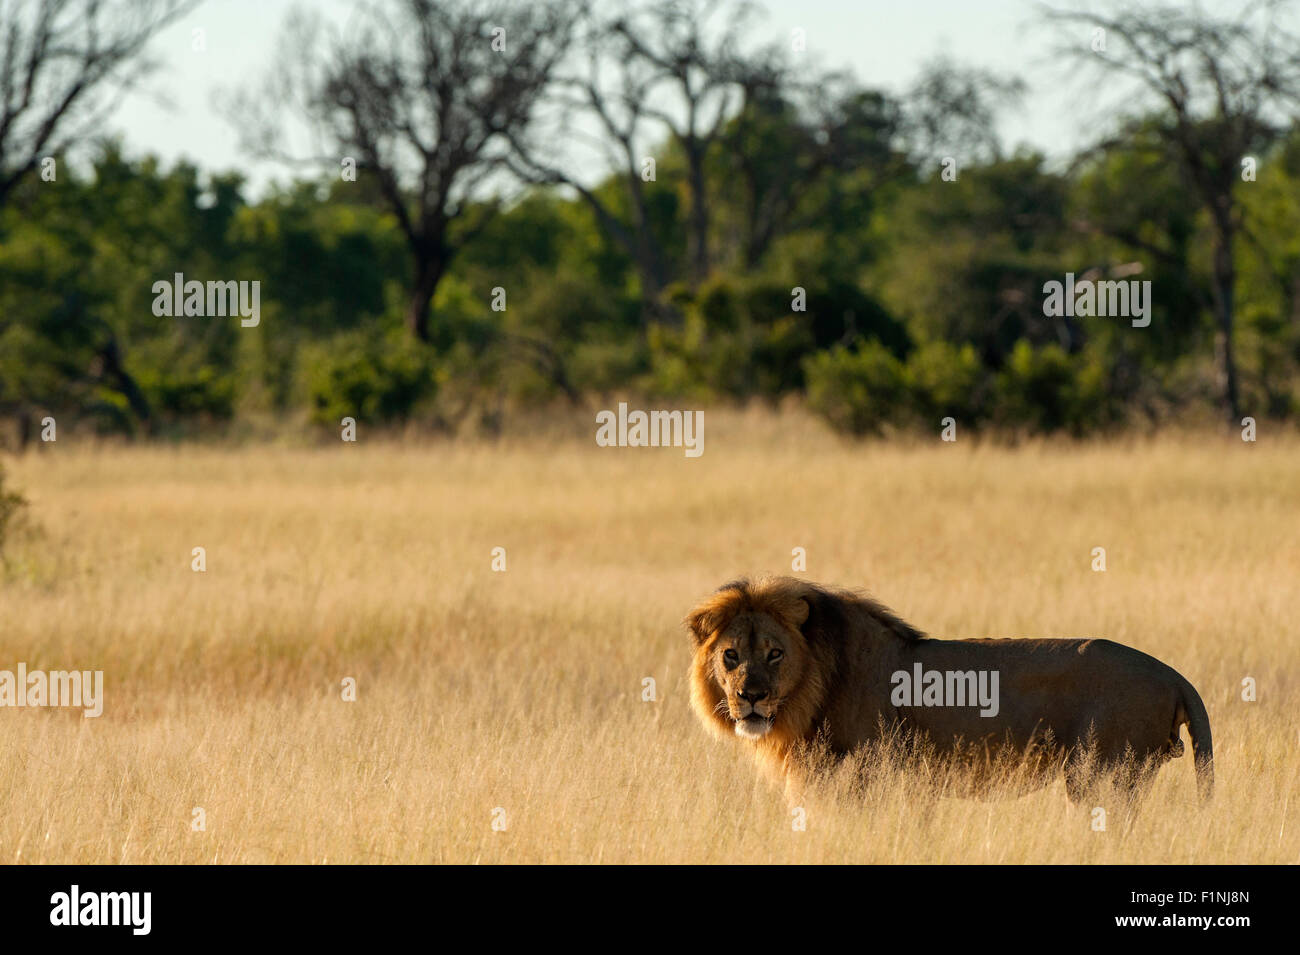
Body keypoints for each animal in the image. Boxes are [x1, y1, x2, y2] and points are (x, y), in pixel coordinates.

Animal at [686, 576, 1213, 804]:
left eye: (775, 653)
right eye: (731, 656)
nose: (750, 696)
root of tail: (1172, 673)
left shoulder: (870, 777)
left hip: (1101, 775)